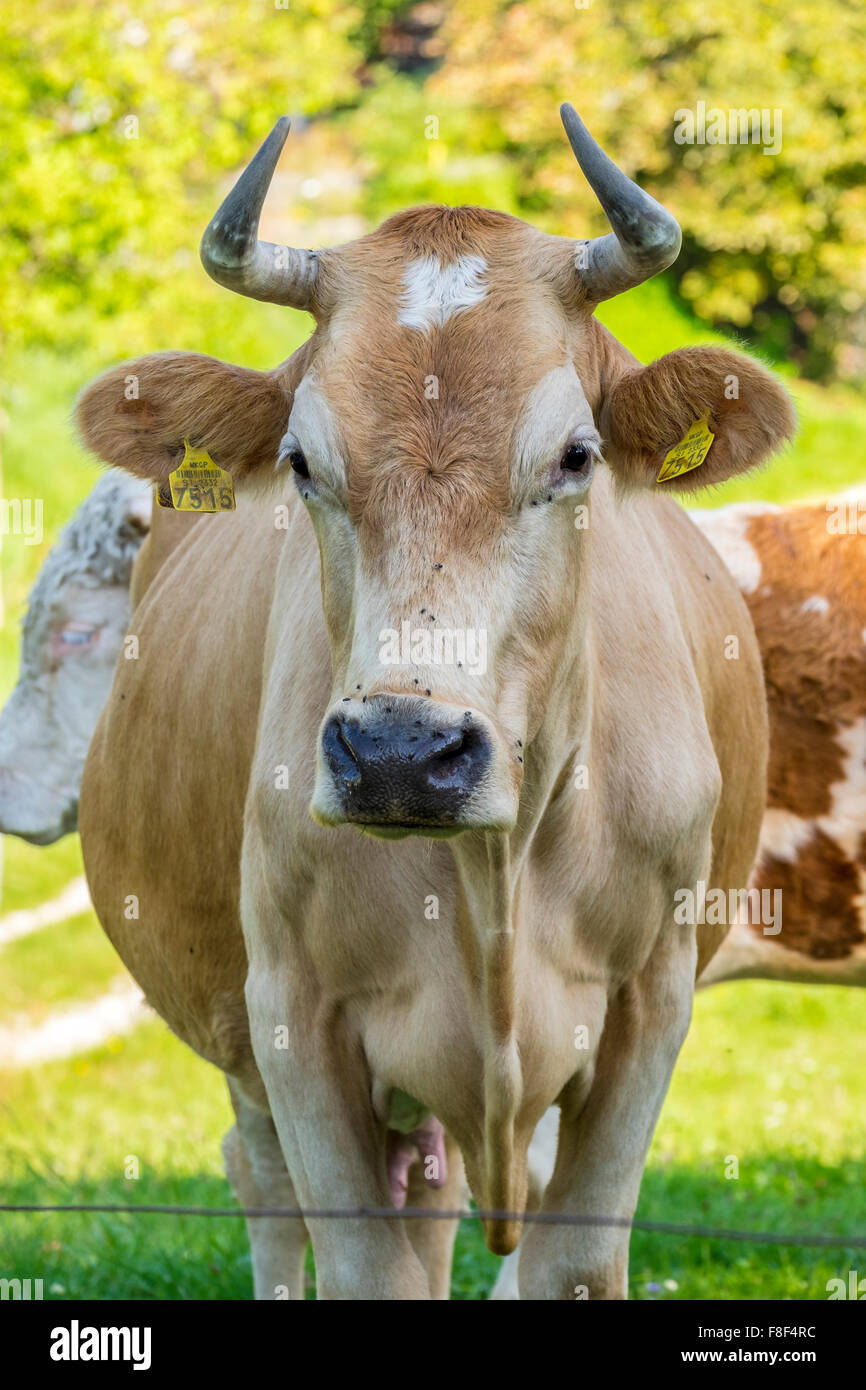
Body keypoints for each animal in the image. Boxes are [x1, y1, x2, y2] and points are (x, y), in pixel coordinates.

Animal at [74, 106, 794, 1300]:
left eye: (575, 456)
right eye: (300, 461)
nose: (400, 752)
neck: (496, 867)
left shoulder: (651, 1009)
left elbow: (570, 1258)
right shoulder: (294, 1022)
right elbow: (363, 1262)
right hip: (242, 1043)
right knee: (264, 1185)